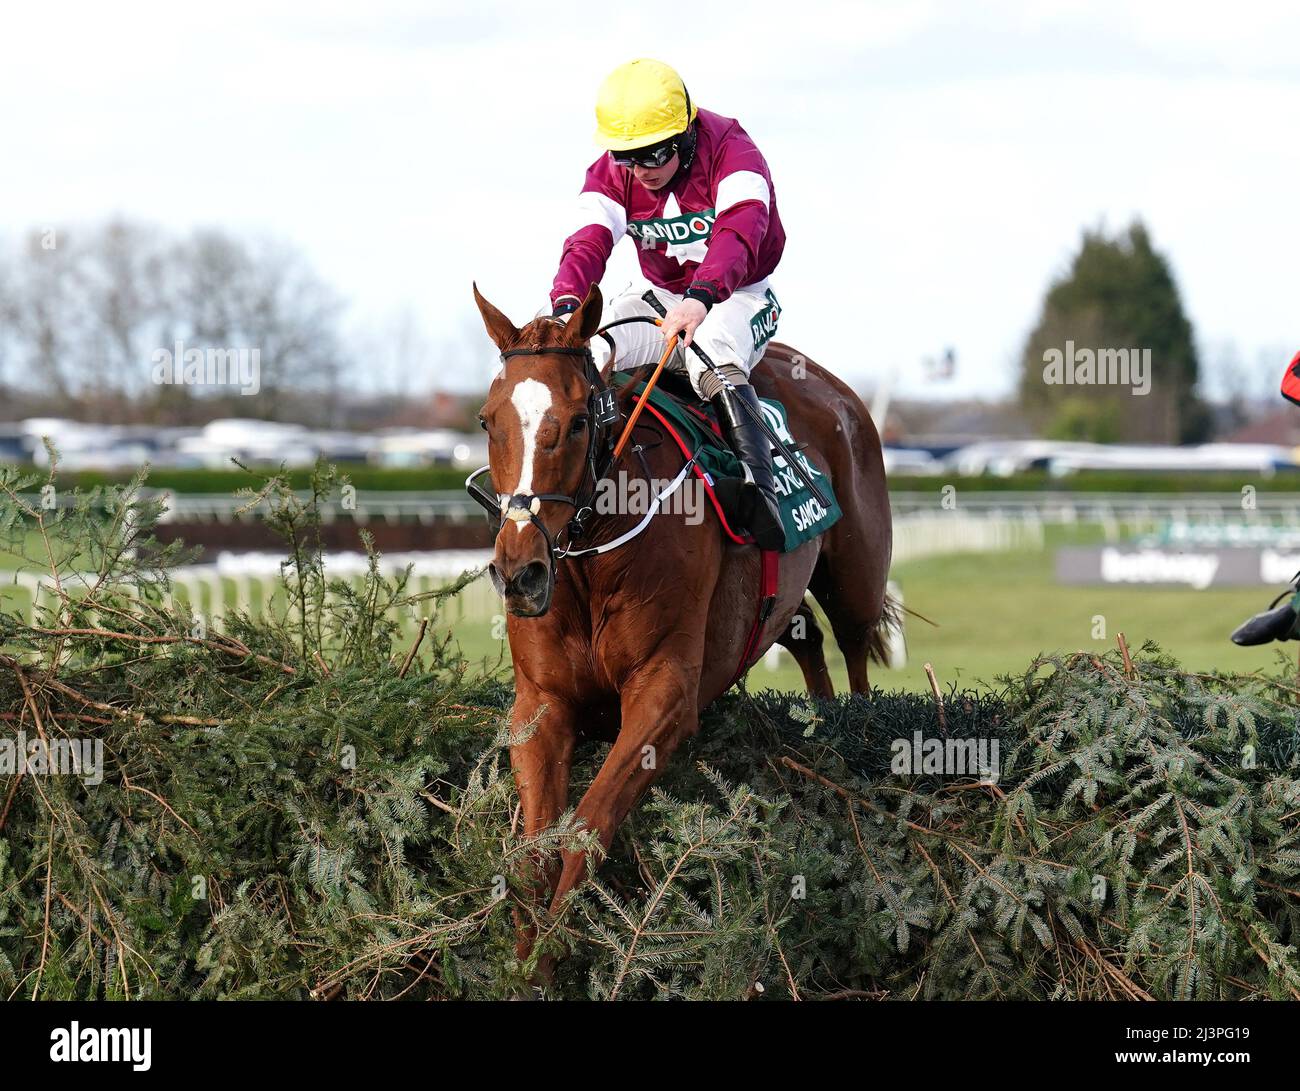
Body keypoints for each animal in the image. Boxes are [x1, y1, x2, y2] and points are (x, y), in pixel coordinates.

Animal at [470, 282, 894, 959]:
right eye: (489, 421)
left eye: (580, 420)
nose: (520, 574)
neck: (592, 560)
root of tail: (835, 389)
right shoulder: (541, 702)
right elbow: (533, 852)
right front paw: (526, 960)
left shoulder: (663, 691)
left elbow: (587, 827)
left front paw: (557, 949)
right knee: (803, 629)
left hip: (855, 573)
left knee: (854, 645)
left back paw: (852, 727)